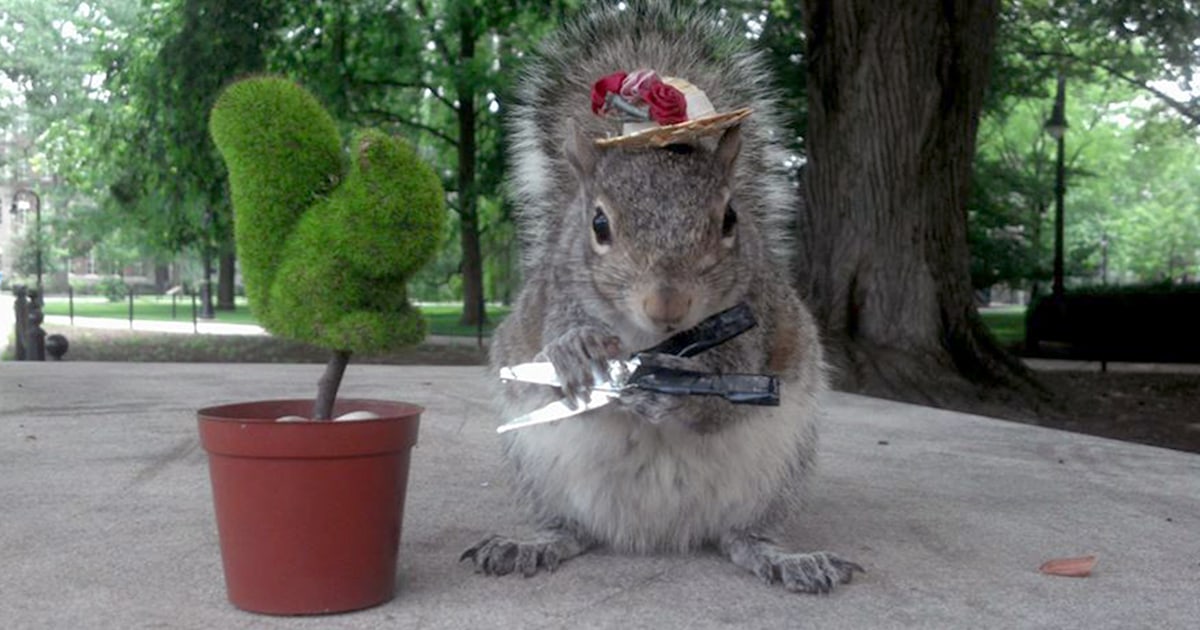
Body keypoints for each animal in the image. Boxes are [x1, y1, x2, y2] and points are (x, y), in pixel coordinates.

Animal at [461, 1, 862, 594]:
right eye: (598, 224)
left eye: (730, 218)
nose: (666, 305)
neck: (649, 339)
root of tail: (654, 534)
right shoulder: (554, 303)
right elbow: (549, 361)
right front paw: (574, 352)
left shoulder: (757, 328)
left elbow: (723, 398)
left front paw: (681, 390)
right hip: (538, 469)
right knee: (571, 531)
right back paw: (531, 545)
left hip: (778, 473)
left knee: (742, 538)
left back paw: (785, 559)